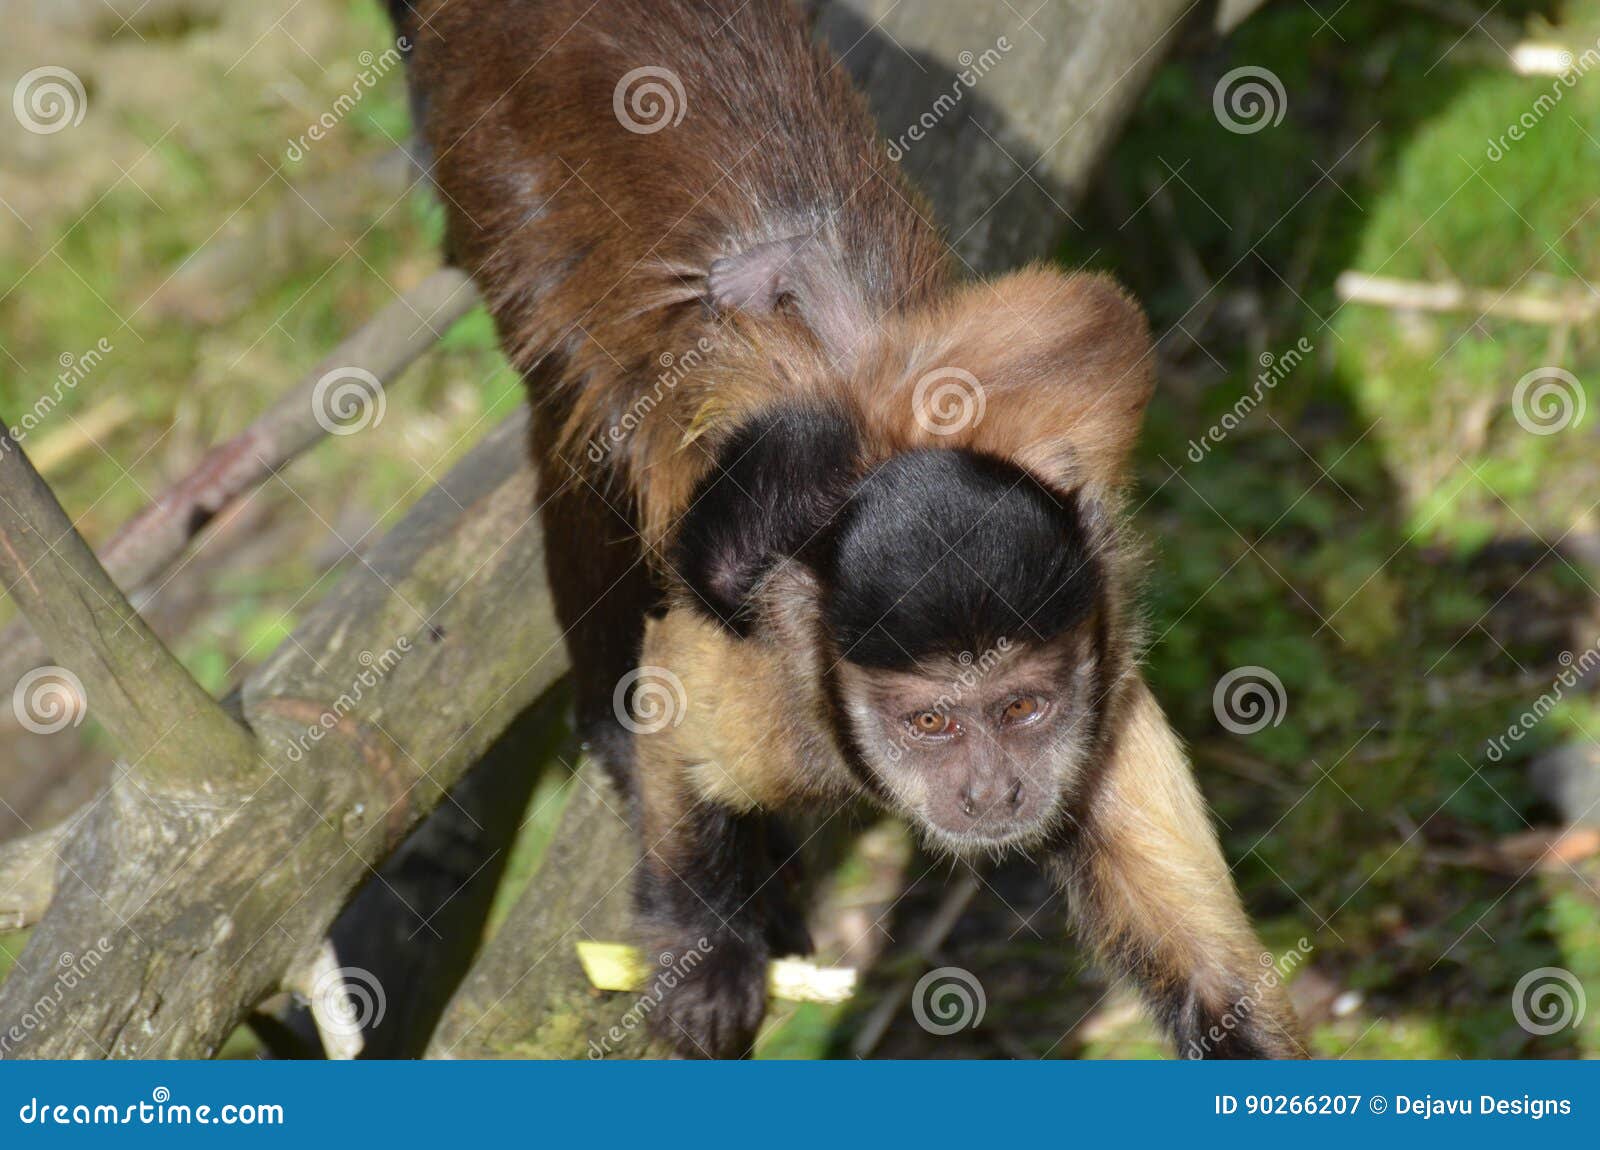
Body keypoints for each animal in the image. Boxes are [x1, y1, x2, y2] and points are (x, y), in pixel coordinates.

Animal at [392, 0, 1303, 1059]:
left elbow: (1218, 987)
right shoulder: (772, 688)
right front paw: (708, 941)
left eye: (1024, 709)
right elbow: (674, 728)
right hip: (492, 155)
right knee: (586, 418)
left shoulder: (1103, 707)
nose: (992, 796)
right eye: (931, 722)